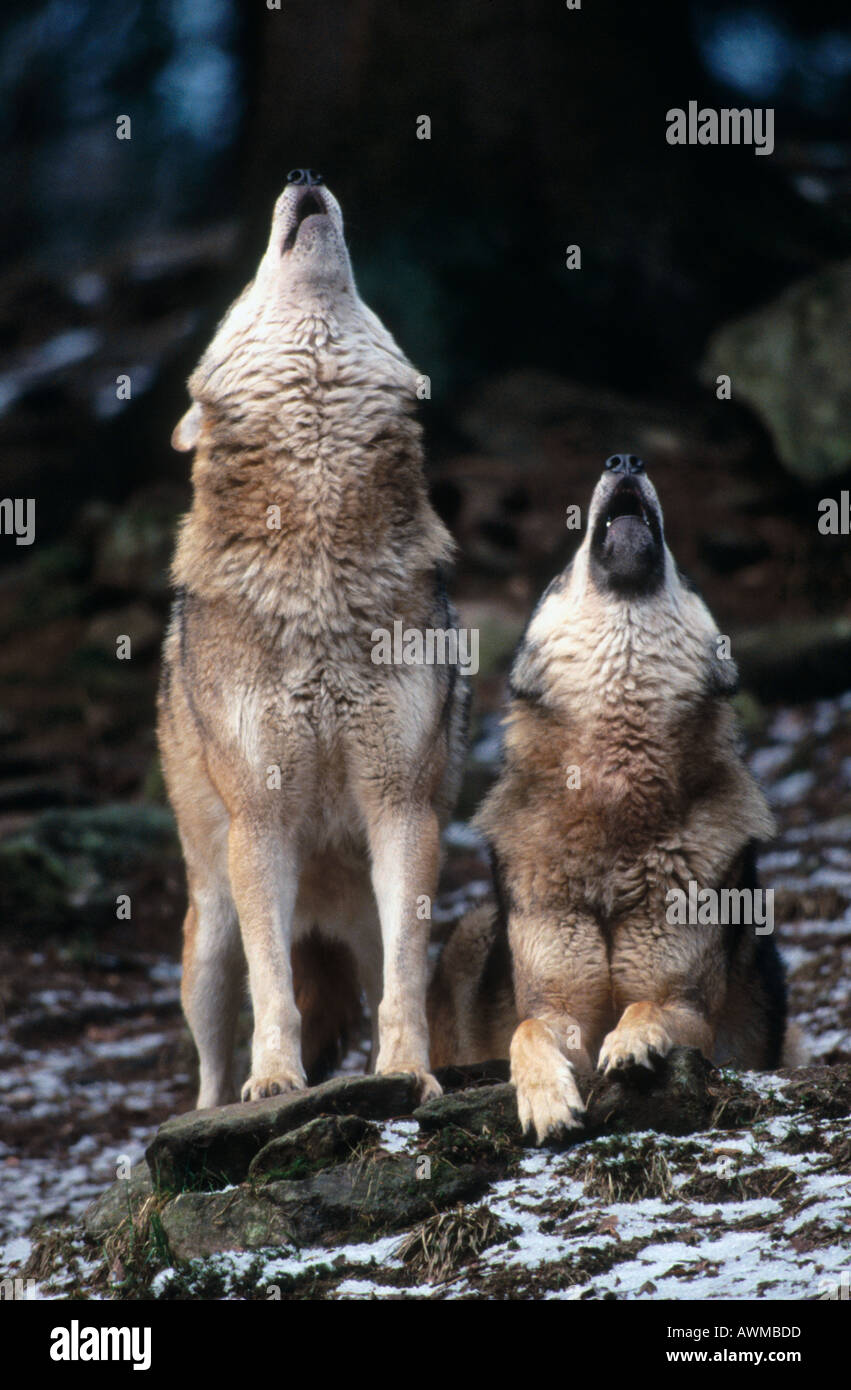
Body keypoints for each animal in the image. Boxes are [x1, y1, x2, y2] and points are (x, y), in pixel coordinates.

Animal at [158, 170, 468, 1109]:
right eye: (244, 289)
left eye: (363, 293)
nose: (301, 174)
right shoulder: (260, 820)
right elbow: (272, 989)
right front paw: (275, 1082)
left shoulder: (402, 809)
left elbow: (402, 984)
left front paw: (409, 1074)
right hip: (208, 937)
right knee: (210, 1057)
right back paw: (207, 1116)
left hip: (359, 916)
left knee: (378, 979)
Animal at [428, 454, 787, 1142]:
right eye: (561, 571)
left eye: (683, 570)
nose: (624, 459)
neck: (616, 808)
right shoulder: (558, 1006)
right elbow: (528, 1030)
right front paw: (546, 1102)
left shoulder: (689, 1006)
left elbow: (650, 1007)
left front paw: (632, 1044)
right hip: (471, 930)